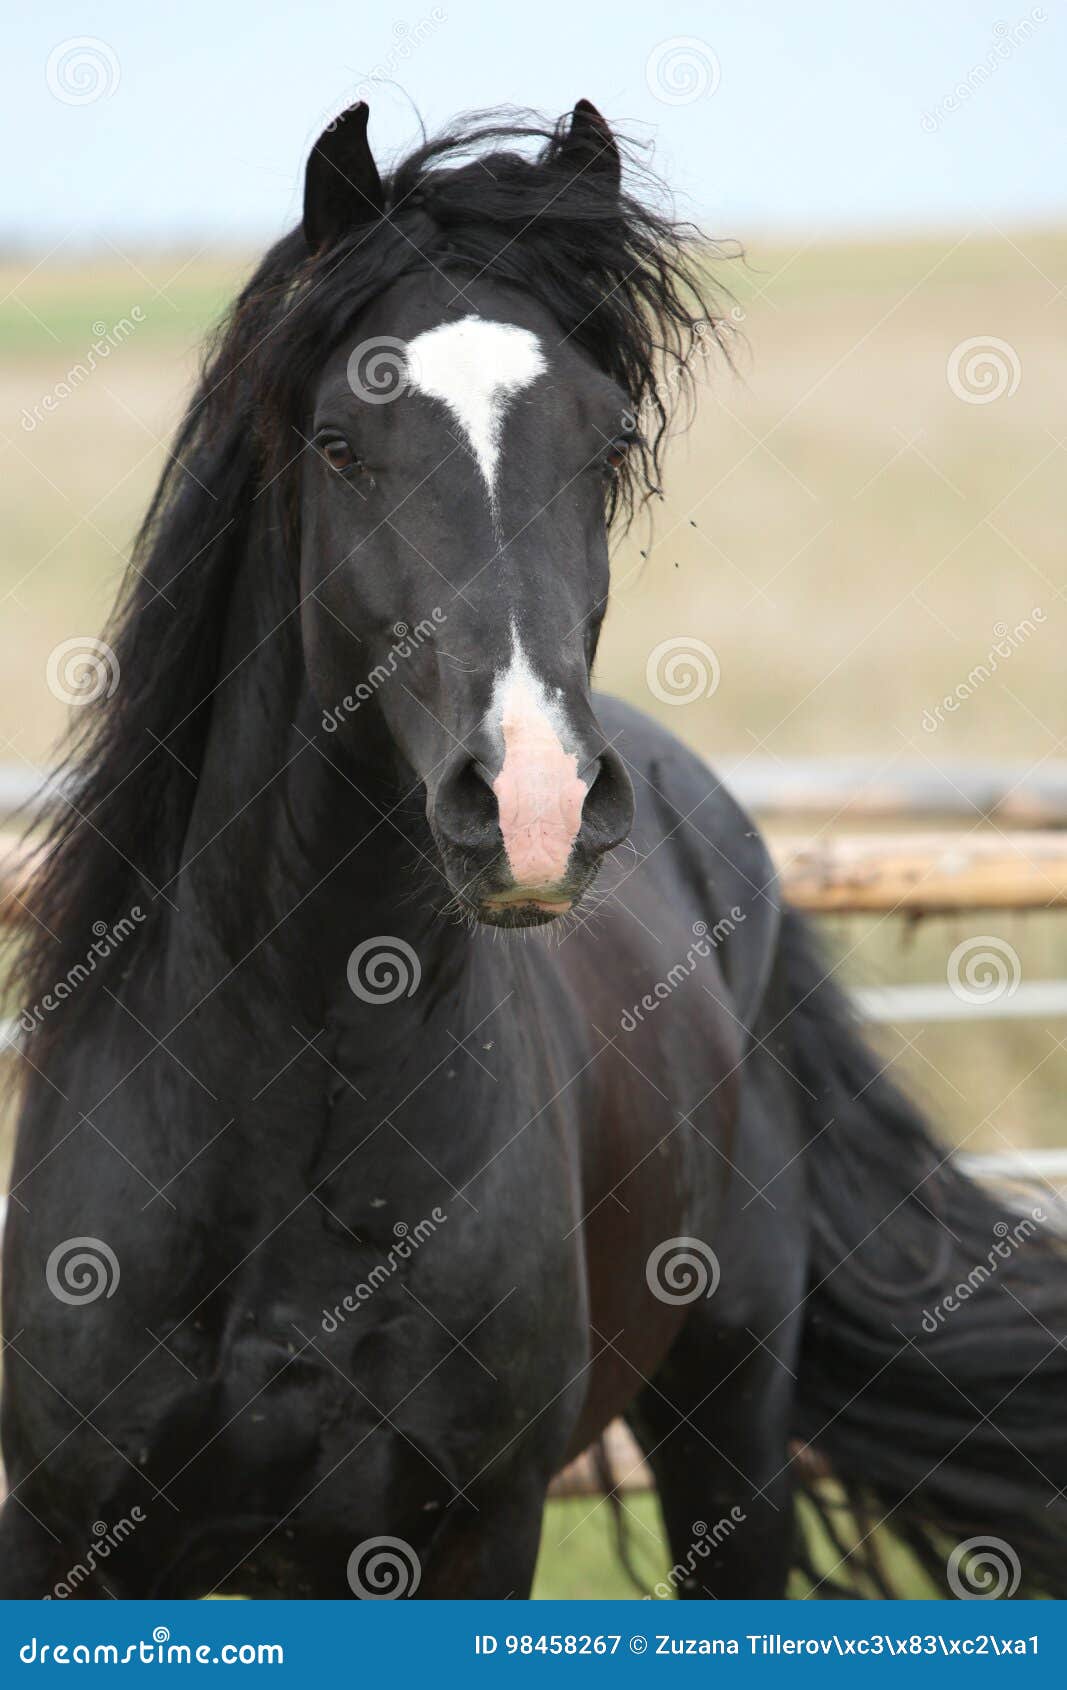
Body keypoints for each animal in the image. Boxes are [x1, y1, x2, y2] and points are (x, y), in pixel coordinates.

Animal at [3, 101, 1066, 1601]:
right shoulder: (62, 1533)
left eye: (607, 440)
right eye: (338, 441)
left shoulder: (468, 1530)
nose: (536, 806)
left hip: (729, 1427)